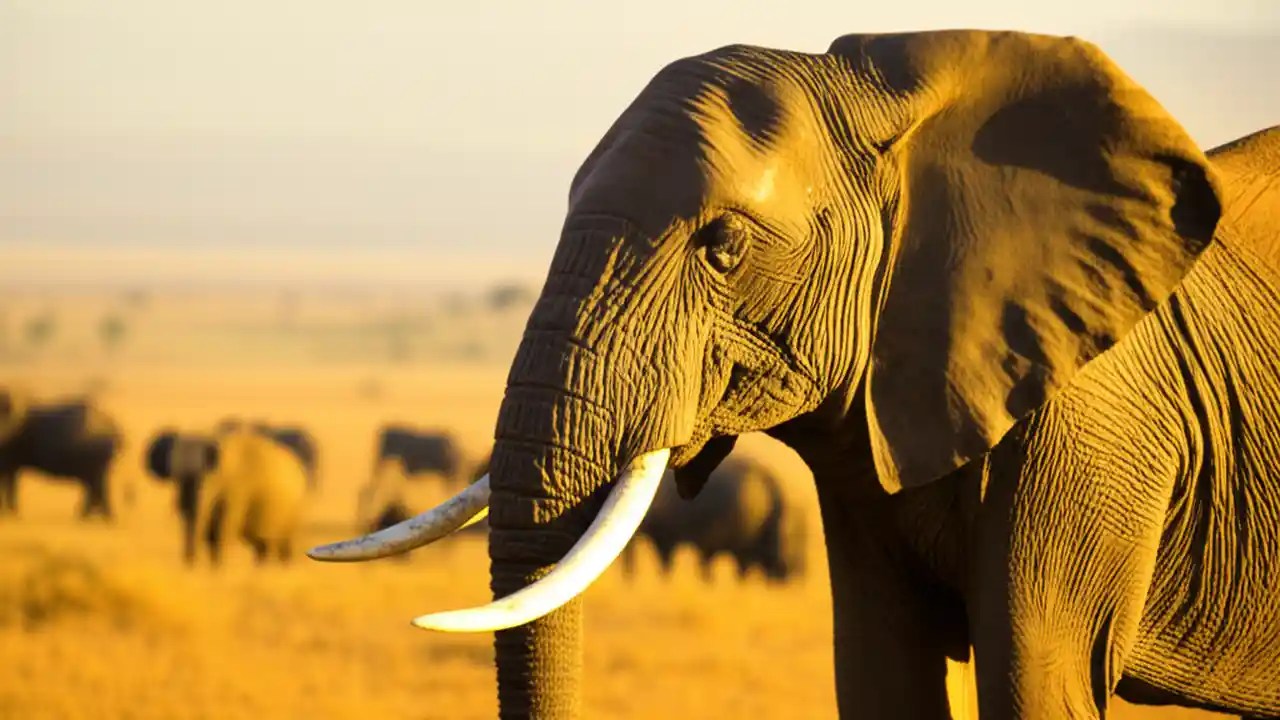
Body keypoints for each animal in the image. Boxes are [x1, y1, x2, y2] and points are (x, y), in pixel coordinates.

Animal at [0, 388, 122, 519]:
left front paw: (8, 514)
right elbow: (10, 477)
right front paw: (10, 514)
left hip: (95, 454)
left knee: (96, 484)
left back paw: (92, 518)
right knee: (95, 484)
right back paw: (91, 516)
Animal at [146, 426, 308, 566]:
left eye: (206, 480)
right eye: (174, 478)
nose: (190, 567)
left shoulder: (239, 485)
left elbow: (225, 526)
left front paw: (218, 569)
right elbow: (210, 532)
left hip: (294, 509)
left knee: (280, 543)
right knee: (261, 544)